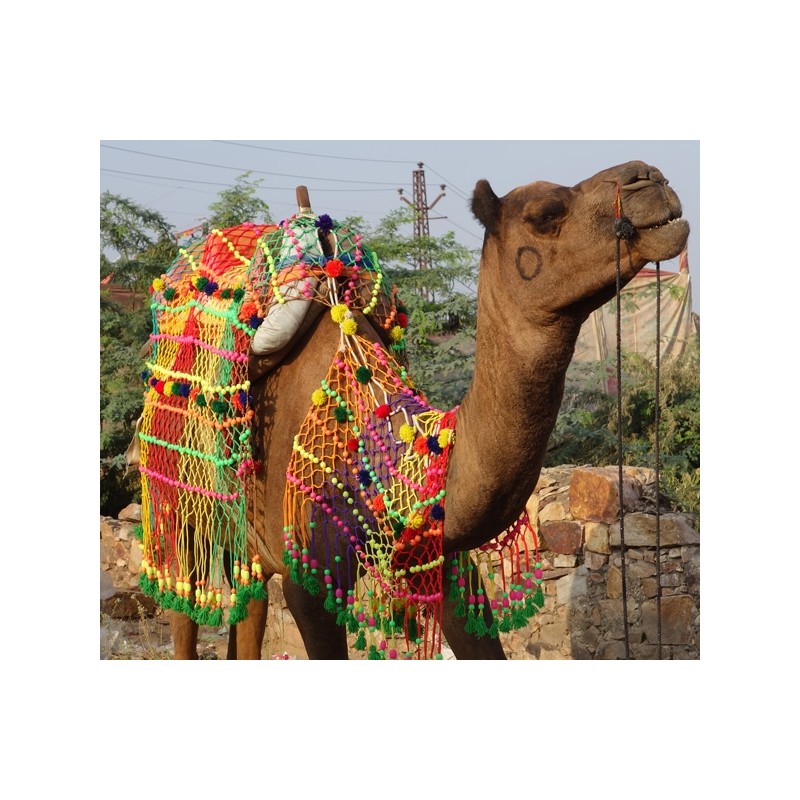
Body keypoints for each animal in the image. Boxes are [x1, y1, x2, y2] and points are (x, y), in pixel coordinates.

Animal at [159, 160, 689, 660]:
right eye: (544, 214)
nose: (649, 177)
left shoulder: (443, 558)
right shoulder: (306, 576)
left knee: (248, 607)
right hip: (179, 504)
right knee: (184, 603)